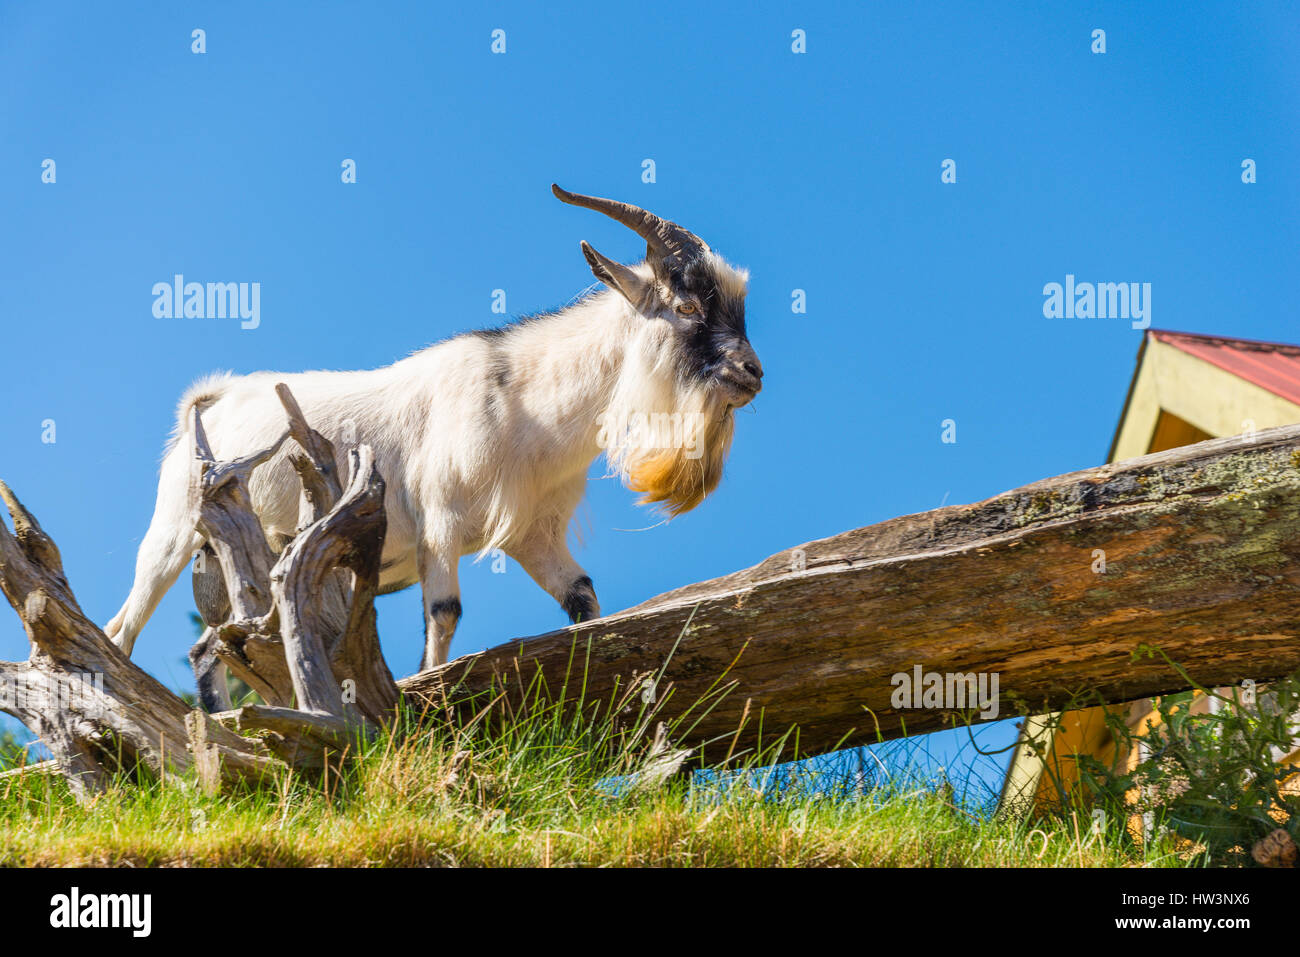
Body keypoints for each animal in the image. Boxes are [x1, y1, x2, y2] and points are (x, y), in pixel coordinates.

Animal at [105, 184, 763, 692]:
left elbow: (582, 598)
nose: (753, 372)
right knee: (123, 630)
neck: (522, 401)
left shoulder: (532, 534)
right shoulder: (439, 523)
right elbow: (444, 613)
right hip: (173, 533)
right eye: (685, 306)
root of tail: (210, 401)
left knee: (211, 646)